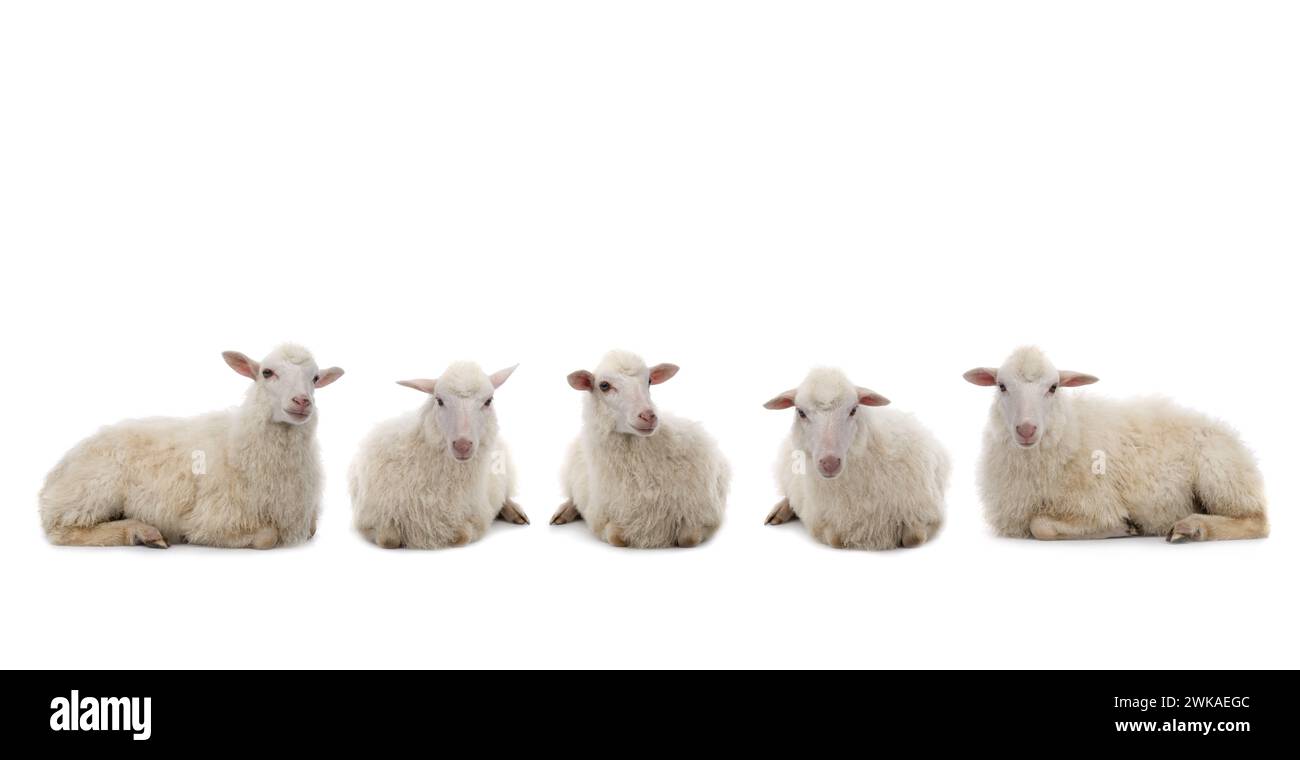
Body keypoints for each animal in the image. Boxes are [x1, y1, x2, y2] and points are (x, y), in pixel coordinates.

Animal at [38, 344, 344, 549]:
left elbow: (311, 528)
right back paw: (142, 533)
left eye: (315, 378)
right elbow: (267, 537)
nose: (302, 401)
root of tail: (55, 473)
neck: (238, 442)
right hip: (93, 489)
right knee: (63, 530)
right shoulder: (212, 518)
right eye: (267, 372)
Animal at [349, 362, 527, 549]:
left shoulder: (476, 516)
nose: (462, 445)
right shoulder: (368, 517)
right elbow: (388, 540)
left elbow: (462, 536)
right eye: (439, 401)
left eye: (488, 401)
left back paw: (515, 512)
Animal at [550, 350, 729, 548]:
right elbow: (617, 537)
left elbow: (687, 539)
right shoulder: (604, 517)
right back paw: (563, 513)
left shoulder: (707, 513)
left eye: (649, 380)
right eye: (604, 385)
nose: (649, 416)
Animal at [762, 368, 949, 549]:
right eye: (801, 412)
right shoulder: (824, 520)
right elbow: (835, 539)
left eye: (853, 410)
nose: (830, 463)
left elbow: (914, 538)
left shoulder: (928, 510)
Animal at [964, 346, 1268, 543]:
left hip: (1219, 473)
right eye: (1002, 386)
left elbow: (1040, 526)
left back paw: (1193, 528)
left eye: (1053, 387)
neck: (1070, 432)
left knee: (1257, 520)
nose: (1026, 429)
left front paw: (1123, 528)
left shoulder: (1097, 501)